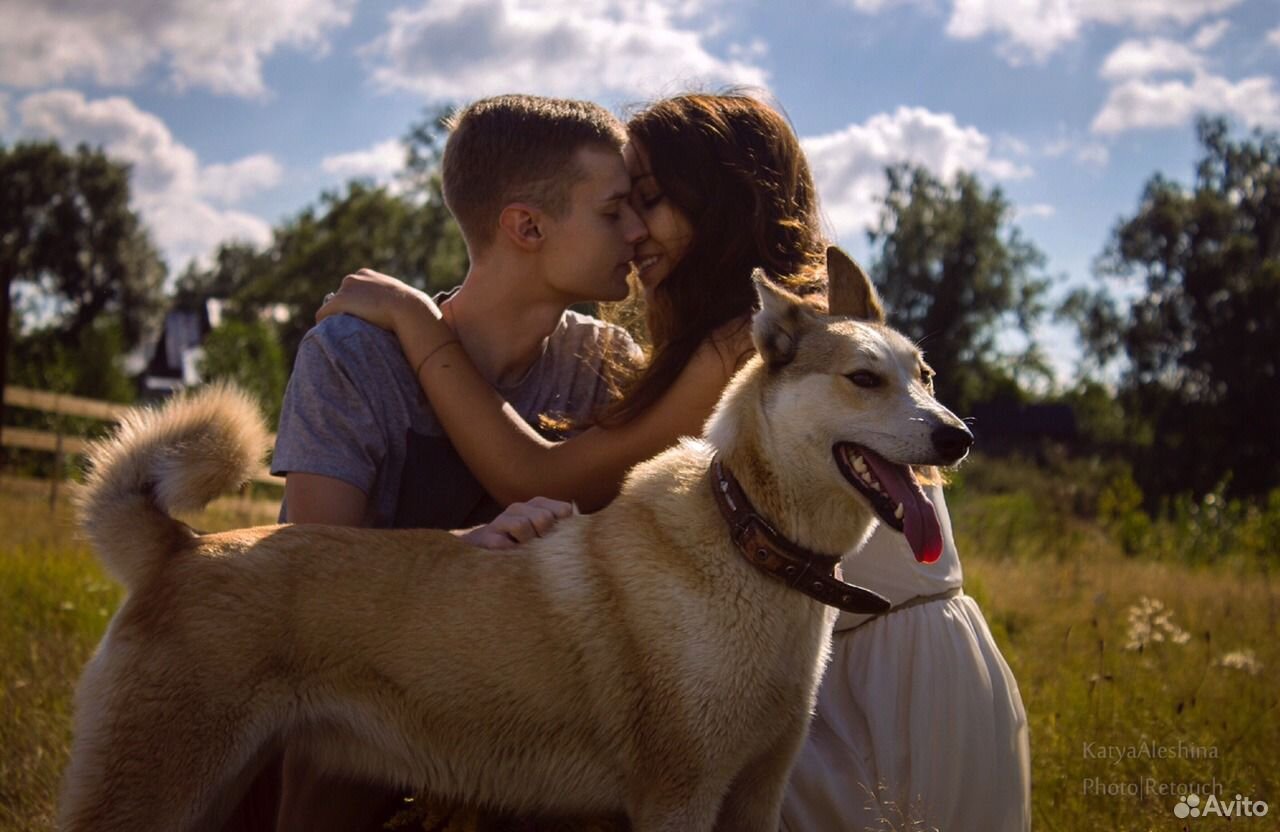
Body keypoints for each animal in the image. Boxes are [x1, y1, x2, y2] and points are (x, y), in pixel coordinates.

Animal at [55, 245, 962, 829]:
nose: (959, 436)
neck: (754, 546)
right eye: (864, 379)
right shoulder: (679, 796)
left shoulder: (756, 795)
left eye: (924, 376)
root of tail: (179, 547)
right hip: (154, 792)